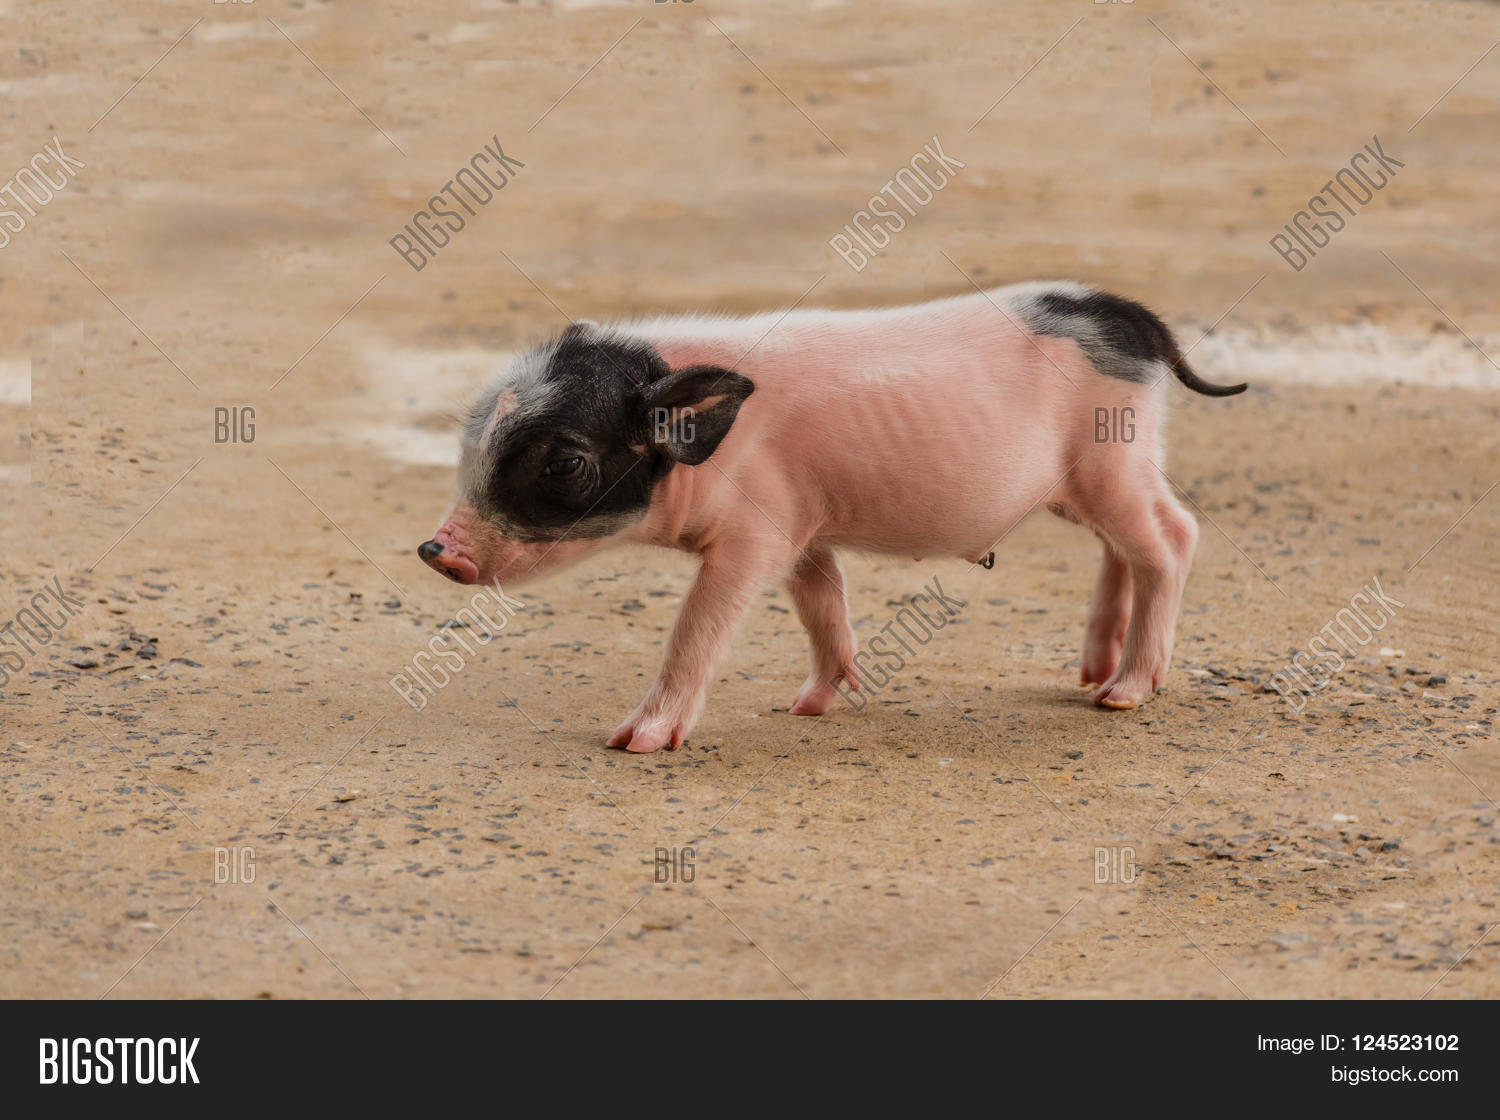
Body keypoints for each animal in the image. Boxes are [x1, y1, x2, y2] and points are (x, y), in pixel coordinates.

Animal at [418, 281, 1246, 753]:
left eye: (564, 463)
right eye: (474, 435)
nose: (436, 550)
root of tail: (1137, 322)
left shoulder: (756, 533)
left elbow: (698, 627)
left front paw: (632, 743)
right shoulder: (800, 525)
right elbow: (821, 598)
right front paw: (811, 705)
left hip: (1114, 458)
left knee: (1174, 537)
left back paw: (1123, 694)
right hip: (1094, 478)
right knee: (1127, 546)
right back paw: (1089, 673)